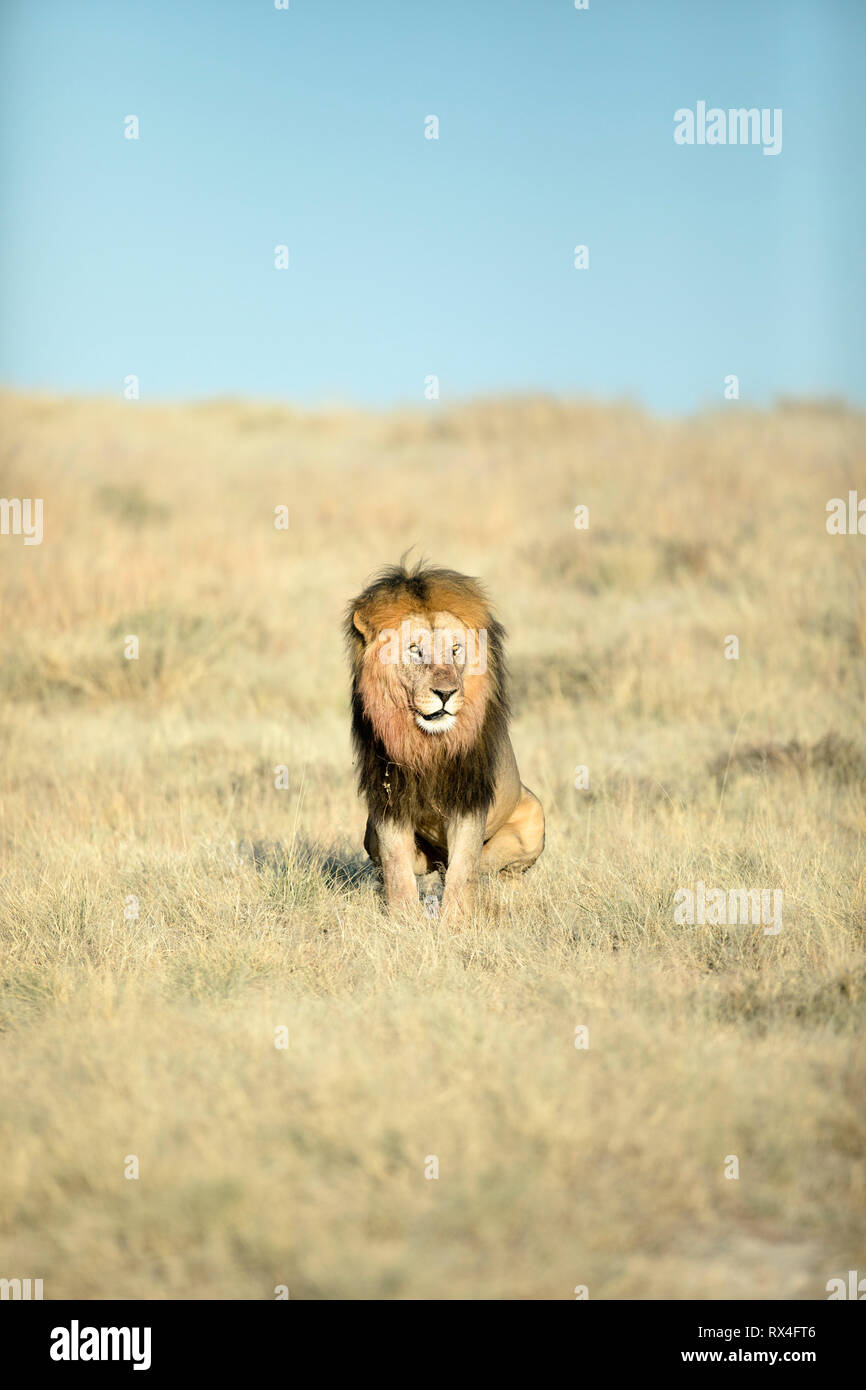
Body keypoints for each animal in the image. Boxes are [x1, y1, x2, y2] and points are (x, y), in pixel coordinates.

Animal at [346, 561, 545, 915]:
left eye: (455, 649)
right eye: (415, 651)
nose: (446, 693)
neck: (430, 743)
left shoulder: (469, 798)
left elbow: (464, 867)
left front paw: (457, 921)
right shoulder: (388, 799)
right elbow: (396, 865)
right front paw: (403, 917)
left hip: (535, 813)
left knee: (498, 871)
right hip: (370, 833)